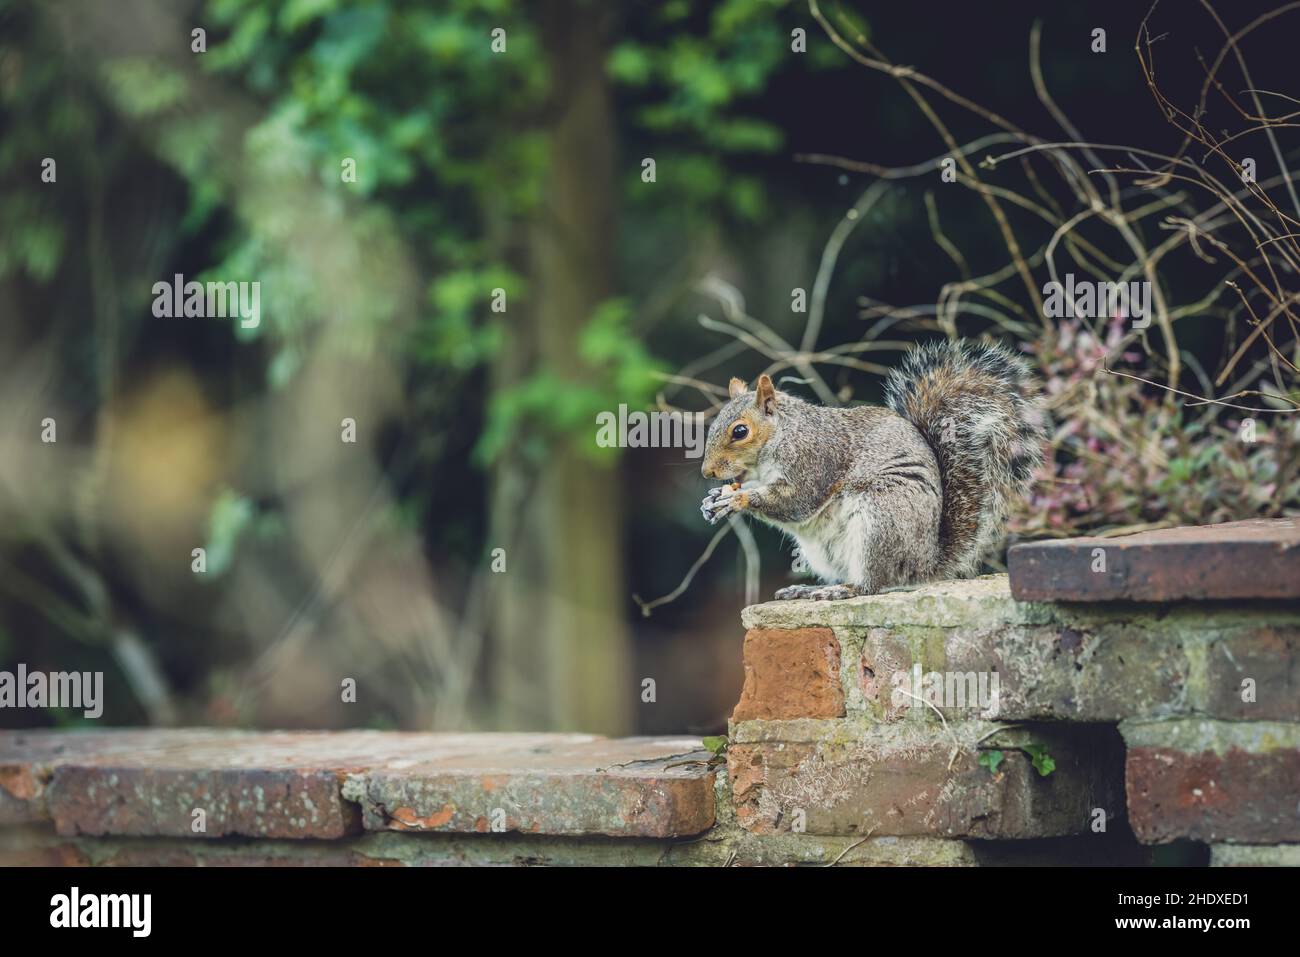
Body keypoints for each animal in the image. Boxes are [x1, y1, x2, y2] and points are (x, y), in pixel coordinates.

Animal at [699, 339, 1045, 600]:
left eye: (740, 431)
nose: (707, 473)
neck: (782, 435)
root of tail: (925, 564)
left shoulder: (815, 459)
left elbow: (796, 502)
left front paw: (736, 499)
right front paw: (712, 499)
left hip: (881, 517)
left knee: (875, 583)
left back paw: (844, 590)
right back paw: (808, 589)